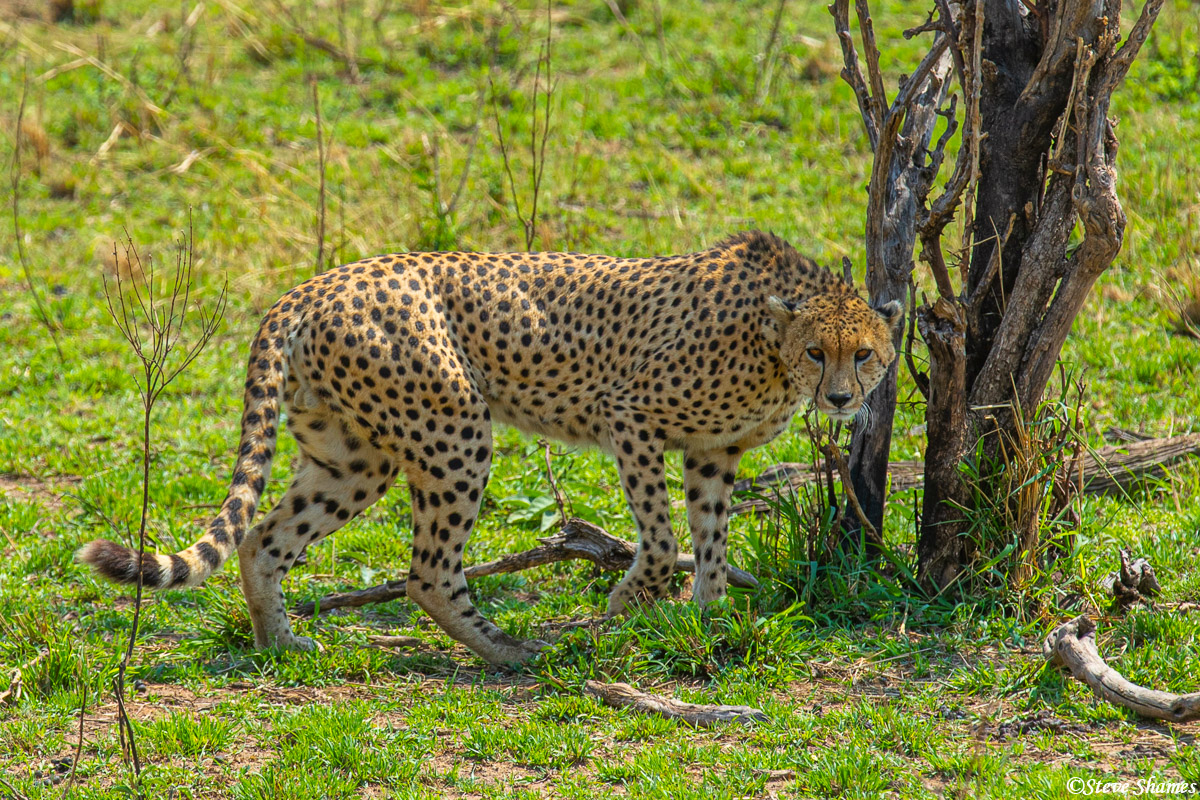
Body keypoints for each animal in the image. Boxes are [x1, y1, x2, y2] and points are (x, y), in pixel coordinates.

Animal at [79, 231, 902, 666]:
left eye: (863, 354)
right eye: (818, 351)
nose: (839, 400)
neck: (771, 344)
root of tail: (312, 285)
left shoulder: (713, 452)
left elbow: (712, 538)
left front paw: (706, 620)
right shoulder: (628, 413)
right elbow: (665, 537)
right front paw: (633, 599)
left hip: (354, 456)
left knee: (263, 540)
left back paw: (282, 645)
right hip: (454, 432)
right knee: (427, 571)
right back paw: (509, 652)